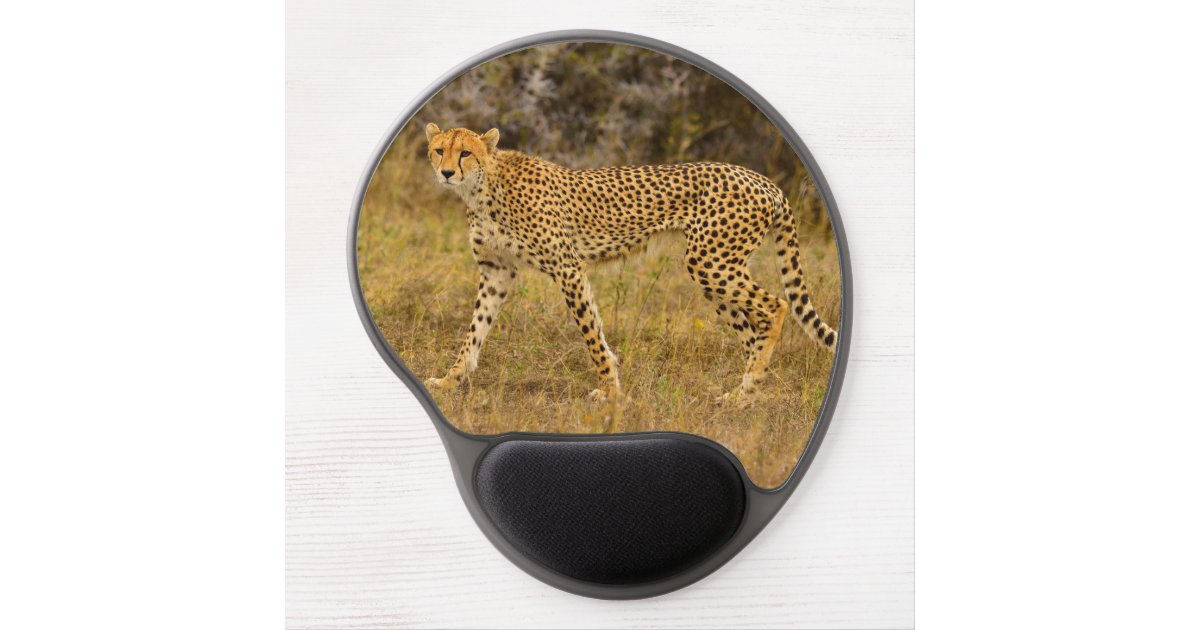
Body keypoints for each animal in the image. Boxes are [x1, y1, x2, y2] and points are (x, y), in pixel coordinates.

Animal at [420, 124, 837, 404]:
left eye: (465, 153)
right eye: (439, 150)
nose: (446, 172)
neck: (482, 187)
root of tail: (764, 180)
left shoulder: (568, 268)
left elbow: (591, 332)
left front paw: (610, 390)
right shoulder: (497, 271)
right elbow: (475, 330)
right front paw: (451, 379)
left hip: (710, 261)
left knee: (776, 306)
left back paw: (749, 387)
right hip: (716, 269)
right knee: (752, 328)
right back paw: (745, 392)